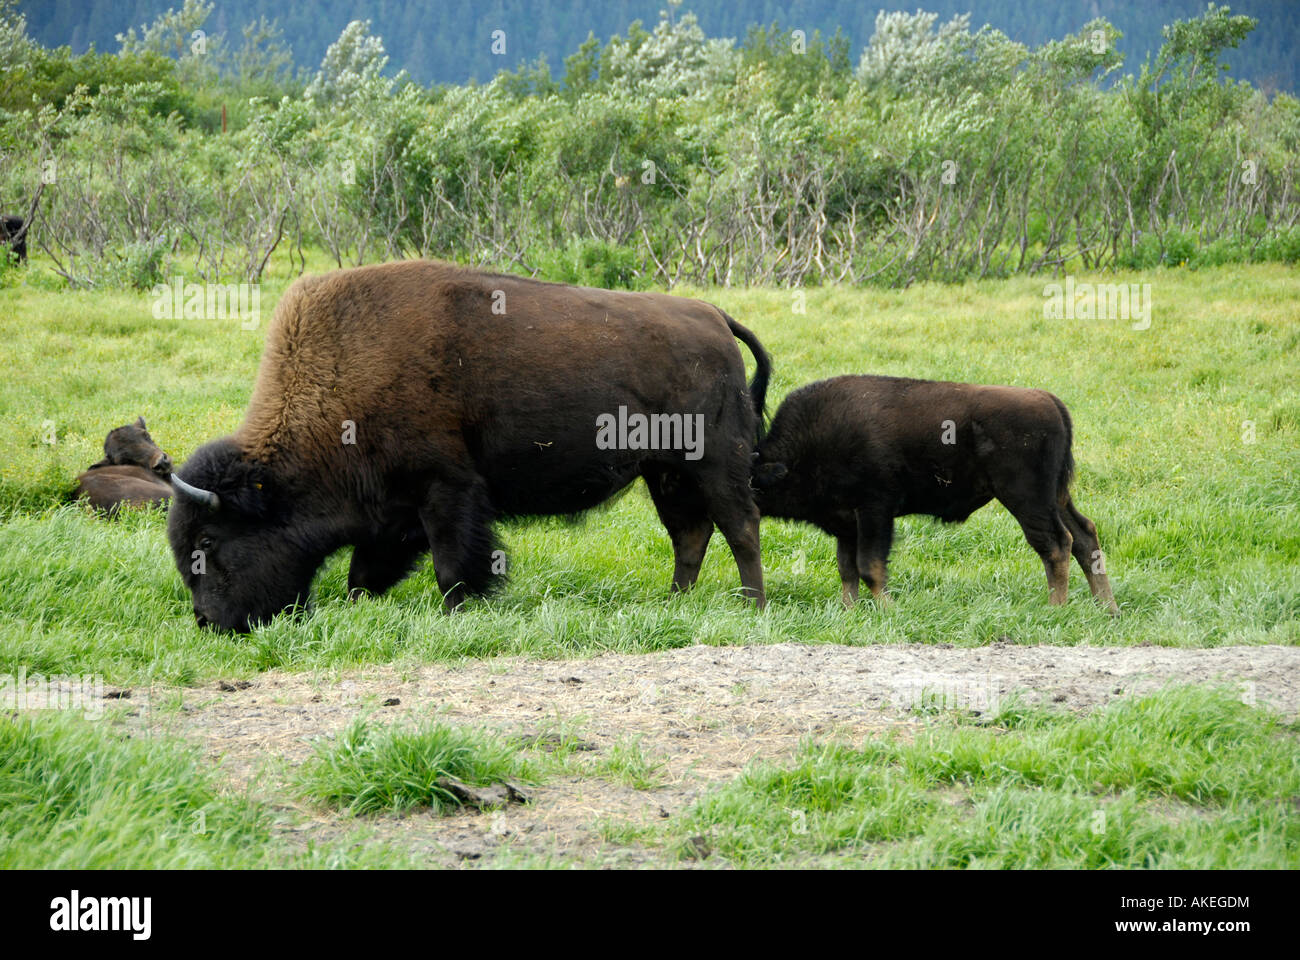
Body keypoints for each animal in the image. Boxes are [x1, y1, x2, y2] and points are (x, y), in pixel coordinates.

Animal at [168, 260, 771, 632]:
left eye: (211, 542)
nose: (208, 621)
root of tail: (714, 317)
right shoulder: (392, 514)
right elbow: (365, 572)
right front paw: (361, 606)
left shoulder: (445, 491)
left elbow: (452, 564)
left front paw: (458, 613)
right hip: (665, 474)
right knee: (691, 535)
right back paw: (676, 604)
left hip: (714, 463)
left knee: (740, 526)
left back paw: (752, 606)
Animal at [752, 375, 1119, 614]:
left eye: (754, 483)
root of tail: (1051, 402)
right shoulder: (846, 524)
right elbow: (847, 569)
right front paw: (849, 611)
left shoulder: (874, 511)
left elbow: (869, 566)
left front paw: (889, 610)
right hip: (1056, 496)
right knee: (1084, 535)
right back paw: (1107, 607)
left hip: (1026, 498)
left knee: (1056, 544)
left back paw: (1056, 607)